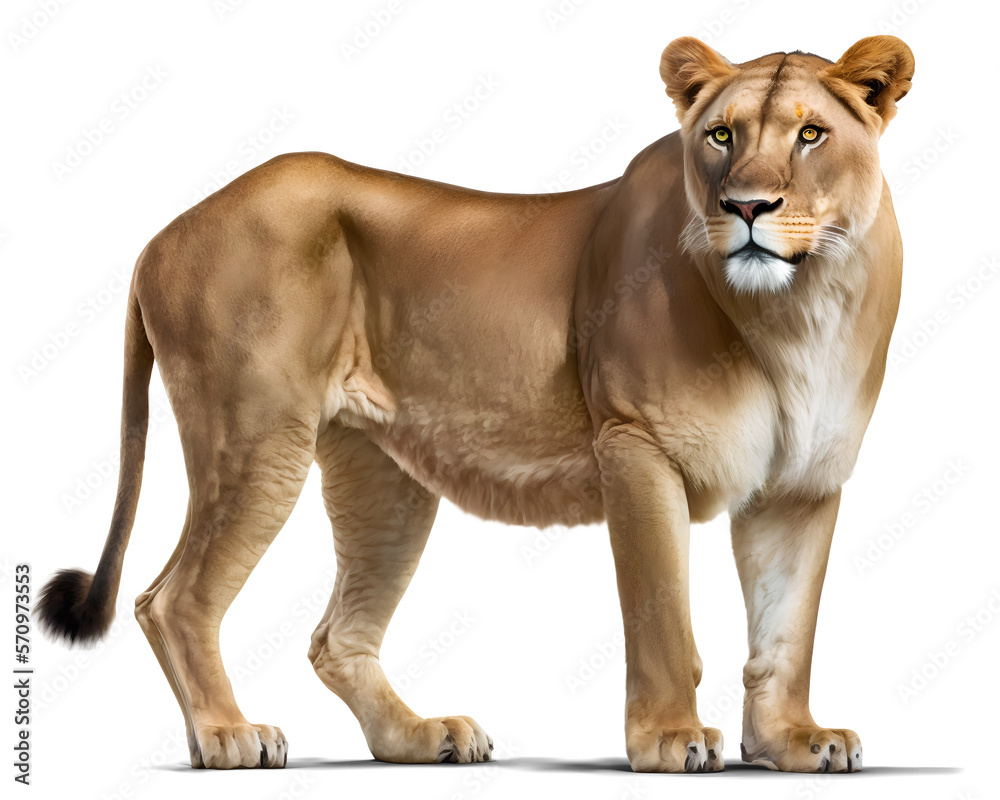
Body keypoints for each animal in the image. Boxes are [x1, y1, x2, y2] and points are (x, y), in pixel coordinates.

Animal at [37, 34, 913, 773]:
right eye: (722, 136)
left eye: (811, 135)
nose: (747, 208)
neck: (799, 311)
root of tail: (163, 233)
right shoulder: (636, 447)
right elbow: (662, 616)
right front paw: (669, 740)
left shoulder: (803, 484)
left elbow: (786, 633)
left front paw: (793, 741)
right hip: (257, 442)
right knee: (172, 600)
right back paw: (227, 735)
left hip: (382, 481)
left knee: (334, 639)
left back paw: (417, 736)